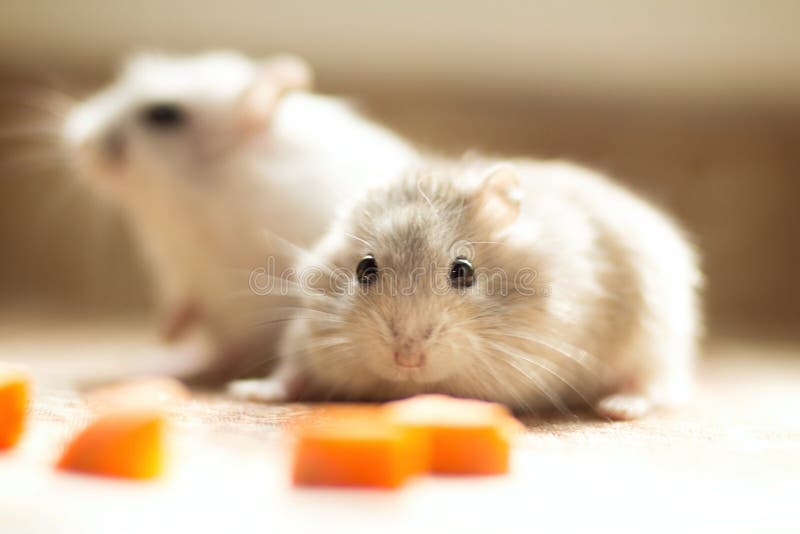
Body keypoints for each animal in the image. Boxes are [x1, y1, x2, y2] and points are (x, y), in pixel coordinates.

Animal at [62, 51, 418, 380]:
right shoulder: (182, 275)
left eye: (163, 114)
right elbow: (183, 304)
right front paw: (166, 335)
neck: (189, 205)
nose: (79, 143)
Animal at [231, 157, 702, 420]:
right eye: (365, 269)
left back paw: (617, 409)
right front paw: (249, 390)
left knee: (655, 385)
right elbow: (290, 371)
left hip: (654, 338)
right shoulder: (307, 334)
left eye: (463, 271)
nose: (407, 358)